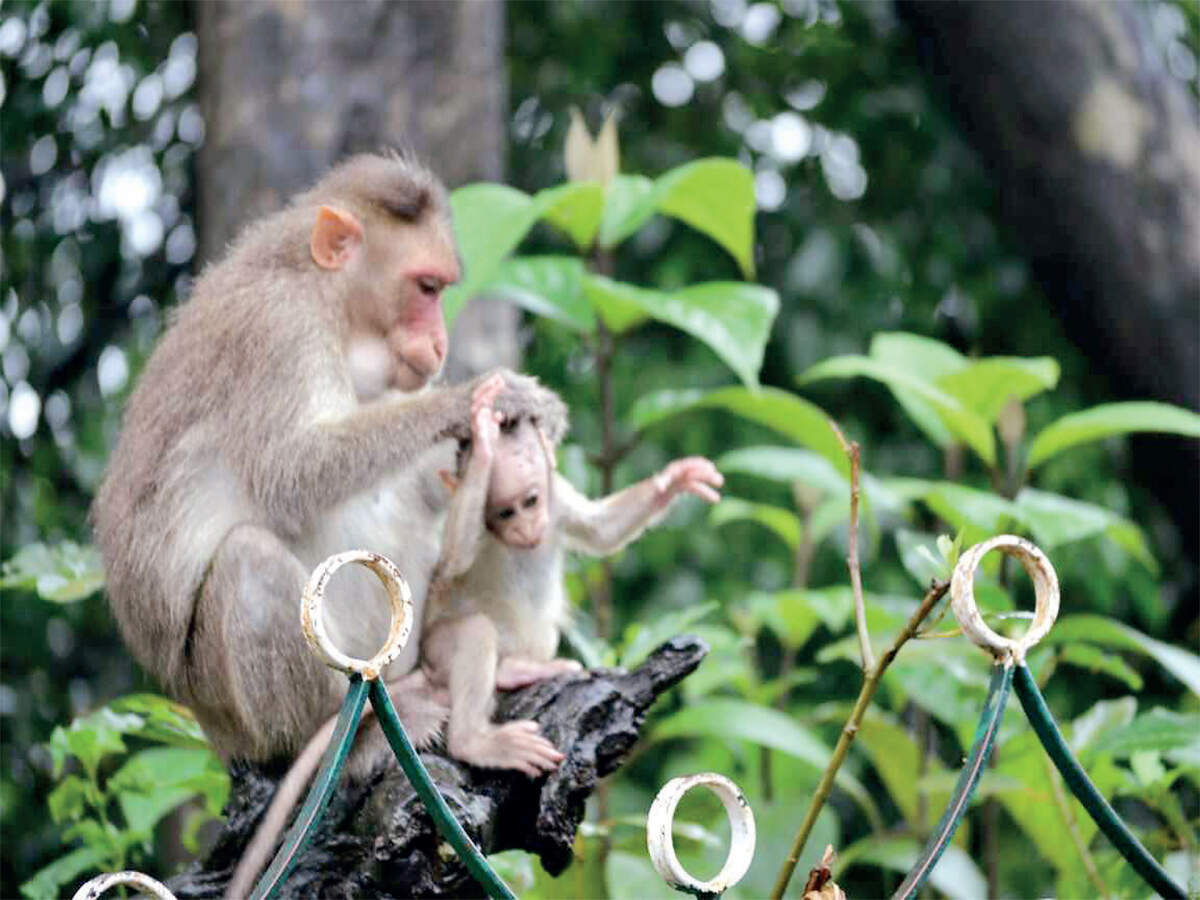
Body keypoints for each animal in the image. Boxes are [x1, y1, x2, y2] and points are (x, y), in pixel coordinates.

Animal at [91, 153, 568, 784]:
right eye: (426, 287)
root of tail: (214, 736)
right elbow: (289, 472)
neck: (330, 306)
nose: (441, 344)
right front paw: (471, 400)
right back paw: (345, 739)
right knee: (251, 562)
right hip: (225, 709)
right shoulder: (279, 330)